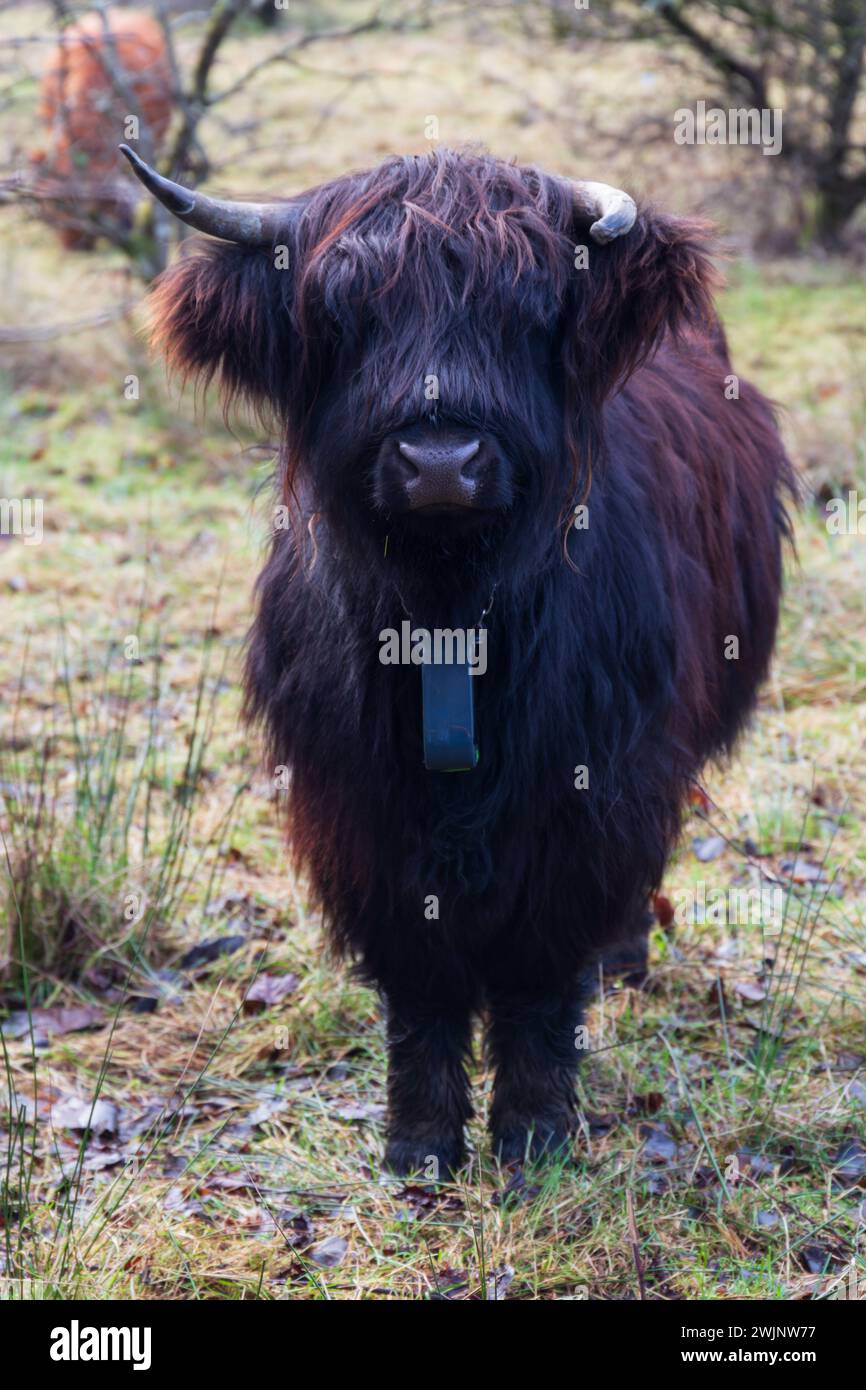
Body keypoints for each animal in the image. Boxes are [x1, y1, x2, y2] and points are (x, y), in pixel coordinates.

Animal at [121, 144, 795, 1175]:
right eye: (344, 314)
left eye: (531, 308)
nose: (440, 462)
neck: (449, 610)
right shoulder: (356, 803)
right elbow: (420, 978)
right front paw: (422, 1140)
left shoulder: (588, 785)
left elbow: (538, 973)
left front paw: (534, 1134)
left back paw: (624, 962)